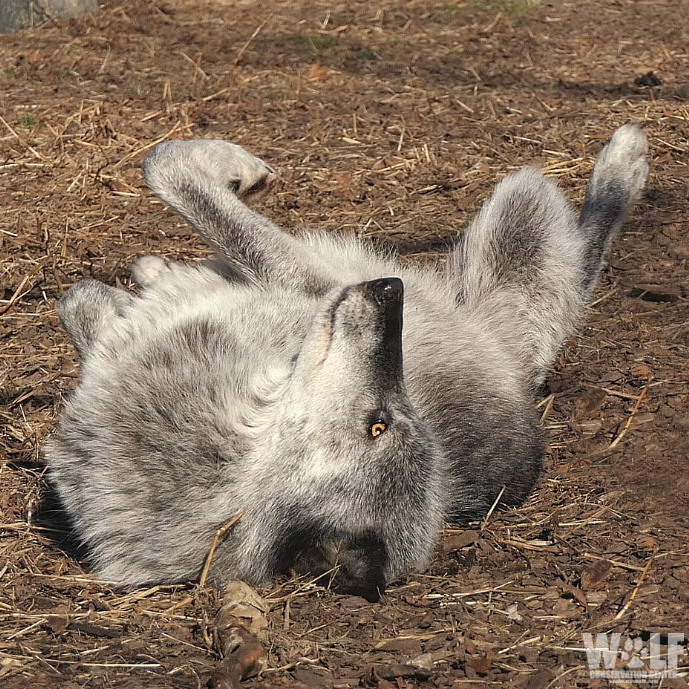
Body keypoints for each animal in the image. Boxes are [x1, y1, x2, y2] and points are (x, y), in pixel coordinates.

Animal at [44, 124, 648, 601]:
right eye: (381, 424)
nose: (390, 292)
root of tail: (525, 382)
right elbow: (87, 294)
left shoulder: (311, 282)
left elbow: (170, 168)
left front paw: (236, 171)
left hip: (521, 215)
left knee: (585, 252)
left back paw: (626, 158)